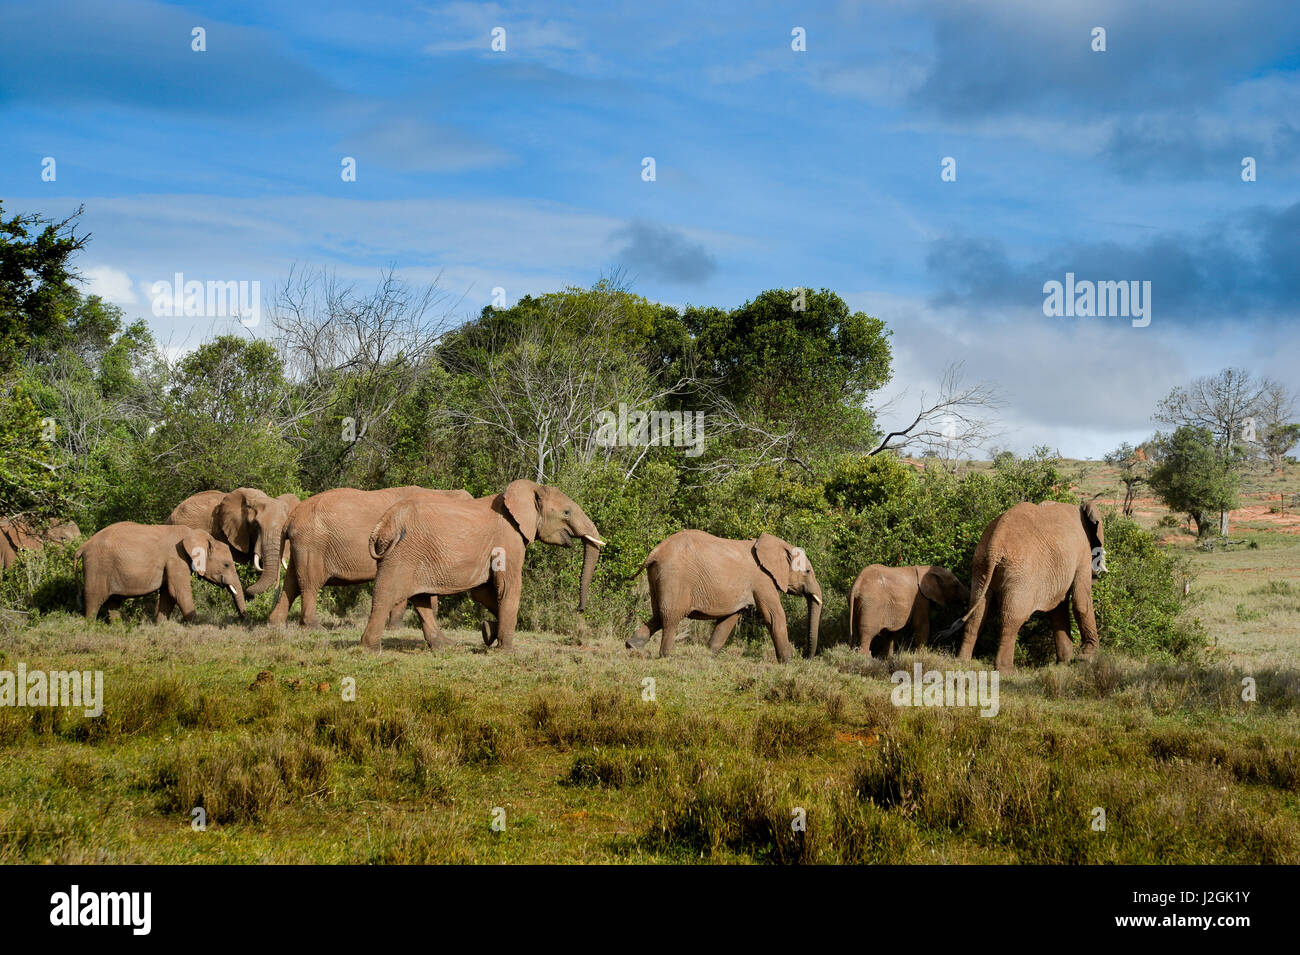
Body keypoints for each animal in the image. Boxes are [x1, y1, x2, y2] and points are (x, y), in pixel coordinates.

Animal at [75, 522, 246, 622]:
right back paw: (90, 627)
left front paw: (161, 627)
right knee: (94, 598)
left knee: (114, 602)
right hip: (98, 566)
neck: (194, 534)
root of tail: (83, 546)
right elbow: (179, 592)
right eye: (226, 565)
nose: (243, 618)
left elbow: (168, 595)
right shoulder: (176, 558)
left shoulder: (172, 562)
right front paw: (197, 626)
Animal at [267, 486, 474, 628]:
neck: (444, 493)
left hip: (302, 546)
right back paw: (314, 627)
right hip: (312, 544)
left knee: (291, 583)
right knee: (309, 583)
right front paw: (395, 628)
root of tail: (291, 518)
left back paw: (275, 624)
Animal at [360, 479, 604, 652]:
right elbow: (509, 587)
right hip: (403, 554)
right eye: (566, 512)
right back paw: (369, 648)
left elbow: (483, 593)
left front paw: (488, 631)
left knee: (421, 600)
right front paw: (506, 650)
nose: (579, 609)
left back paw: (444, 646)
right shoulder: (508, 540)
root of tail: (384, 523)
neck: (529, 489)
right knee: (386, 593)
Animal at [627, 530, 822, 663]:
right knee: (671, 616)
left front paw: (708, 655)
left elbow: (730, 618)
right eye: (807, 571)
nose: (806, 658)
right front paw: (787, 663)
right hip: (675, 576)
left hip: (657, 575)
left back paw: (632, 646)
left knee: (658, 615)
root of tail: (655, 551)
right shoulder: (763, 579)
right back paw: (666, 656)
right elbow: (775, 616)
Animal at [938, 501, 1106, 673]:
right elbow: (1081, 602)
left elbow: (1058, 608)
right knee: (1013, 617)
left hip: (981, 565)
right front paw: (1085, 658)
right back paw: (1006, 670)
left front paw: (1064, 664)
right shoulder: (1082, 554)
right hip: (1021, 572)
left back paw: (962, 662)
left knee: (977, 613)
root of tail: (995, 543)